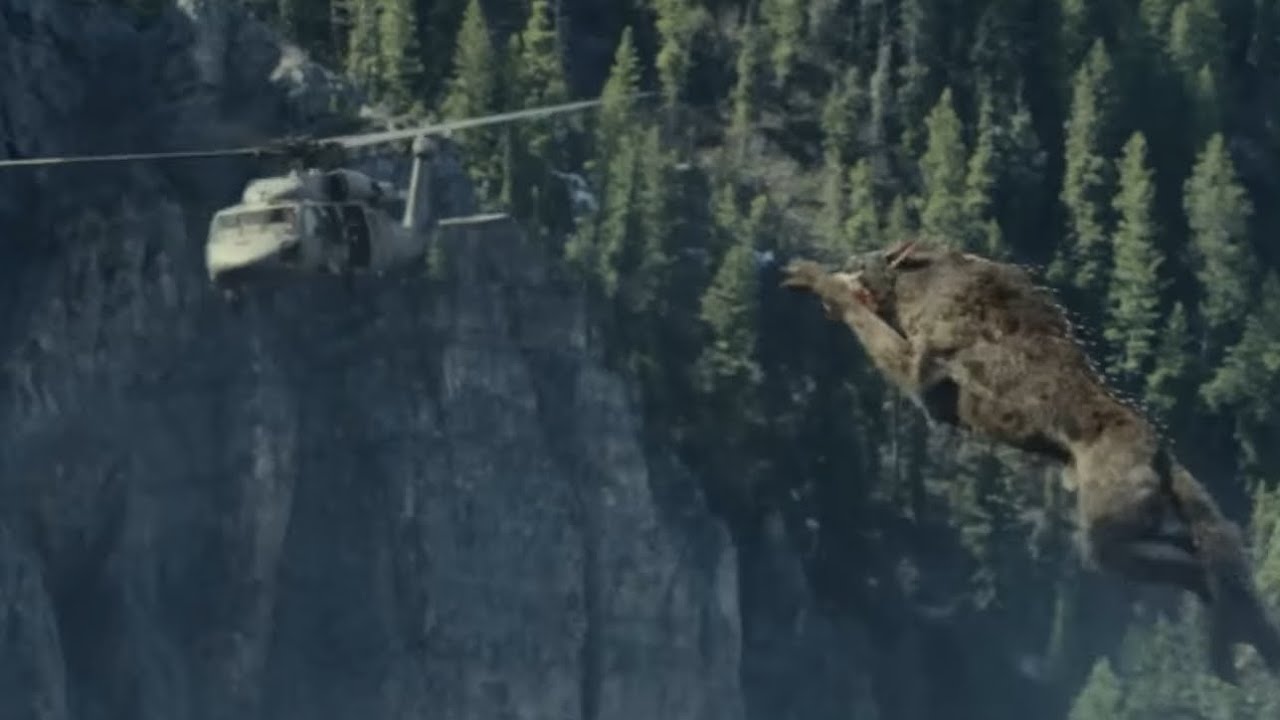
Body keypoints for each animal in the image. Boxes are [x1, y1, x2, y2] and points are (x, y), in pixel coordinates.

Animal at [782, 240, 1280, 682]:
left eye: (867, 256)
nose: (849, 257)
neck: (919, 284)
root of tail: (1161, 452)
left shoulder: (920, 374)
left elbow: (863, 318)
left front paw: (812, 276)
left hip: (1107, 531)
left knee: (1196, 568)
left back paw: (1223, 647)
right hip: (1139, 526)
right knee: (1206, 558)